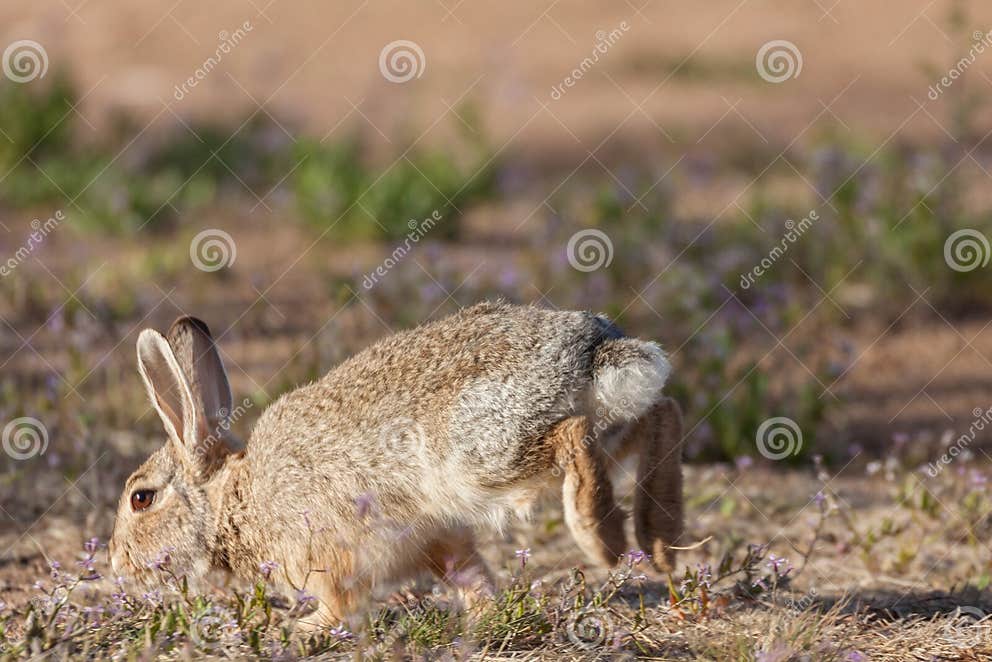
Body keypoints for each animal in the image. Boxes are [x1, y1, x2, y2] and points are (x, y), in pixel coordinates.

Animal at [109, 301, 684, 626]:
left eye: (141, 498)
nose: (116, 562)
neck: (233, 501)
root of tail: (594, 351)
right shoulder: (437, 539)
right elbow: (469, 573)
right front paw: (485, 615)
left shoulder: (325, 555)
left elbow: (339, 605)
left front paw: (300, 630)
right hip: (606, 421)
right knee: (661, 412)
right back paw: (660, 538)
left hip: (486, 457)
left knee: (575, 436)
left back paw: (602, 537)